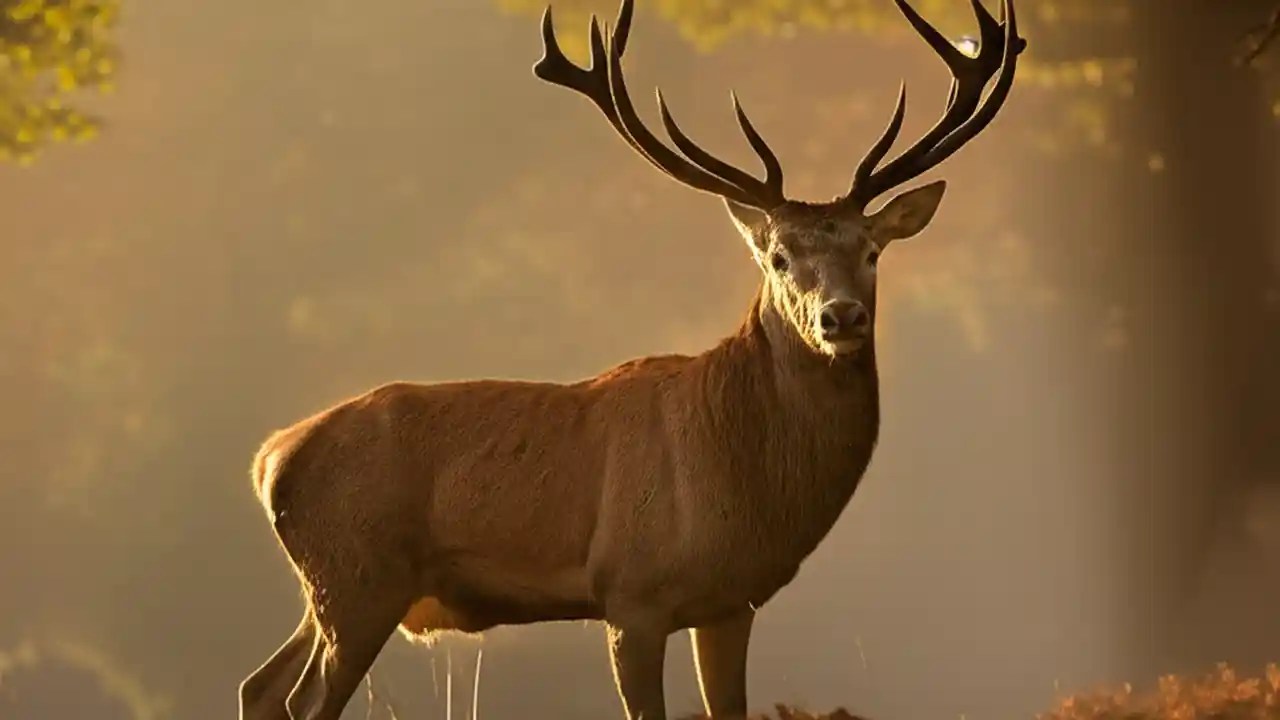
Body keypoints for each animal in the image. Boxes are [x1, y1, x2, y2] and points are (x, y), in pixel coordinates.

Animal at [237, 1, 1023, 718]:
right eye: (778, 256)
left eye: (871, 250)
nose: (841, 316)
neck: (746, 488)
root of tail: (269, 460)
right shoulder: (630, 591)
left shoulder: (731, 602)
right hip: (358, 579)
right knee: (303, 700)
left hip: (331, 590)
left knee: (261, 686)